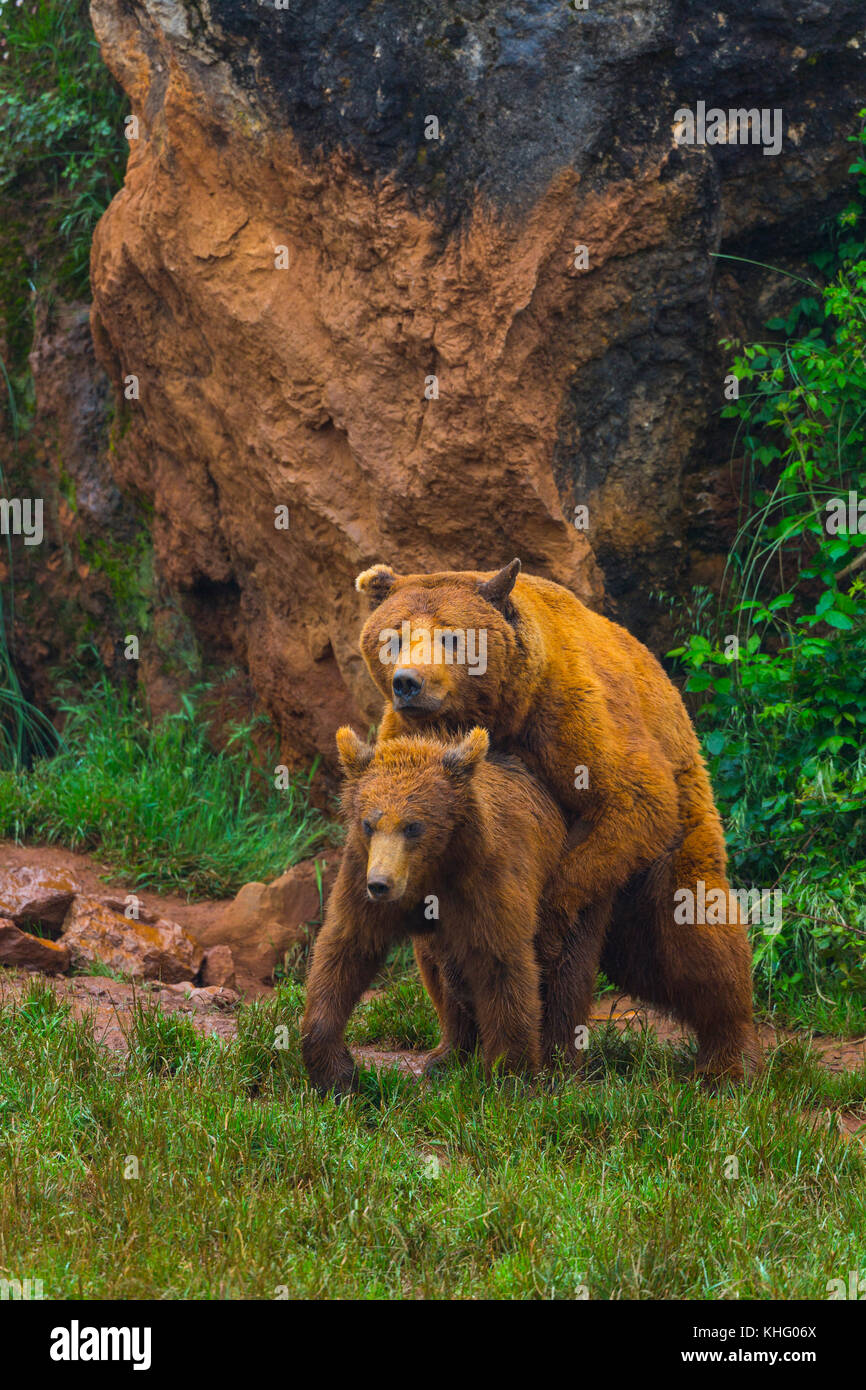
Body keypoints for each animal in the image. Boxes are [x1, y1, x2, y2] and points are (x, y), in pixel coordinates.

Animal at [301, 724, 570, 1095]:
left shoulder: (485, 883)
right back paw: (446, 1055)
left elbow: (503, 963)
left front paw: (509, 1073)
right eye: (369, 823)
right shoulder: (359, 877)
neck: (430, 872)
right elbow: (344, 951)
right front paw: (337, 1072)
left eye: (413, 825)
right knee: (440, 974)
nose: (381, 884)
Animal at [354, 557, 759, 1080]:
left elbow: (631, 798)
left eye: (452, 637)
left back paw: (722, 1061)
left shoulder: (568, 715)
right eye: (394, 637)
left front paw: (542, 934)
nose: (408, 682)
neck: (495, 712)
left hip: (676, 837)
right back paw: (450, 1053)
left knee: (697, 934)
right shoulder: (409, 741)